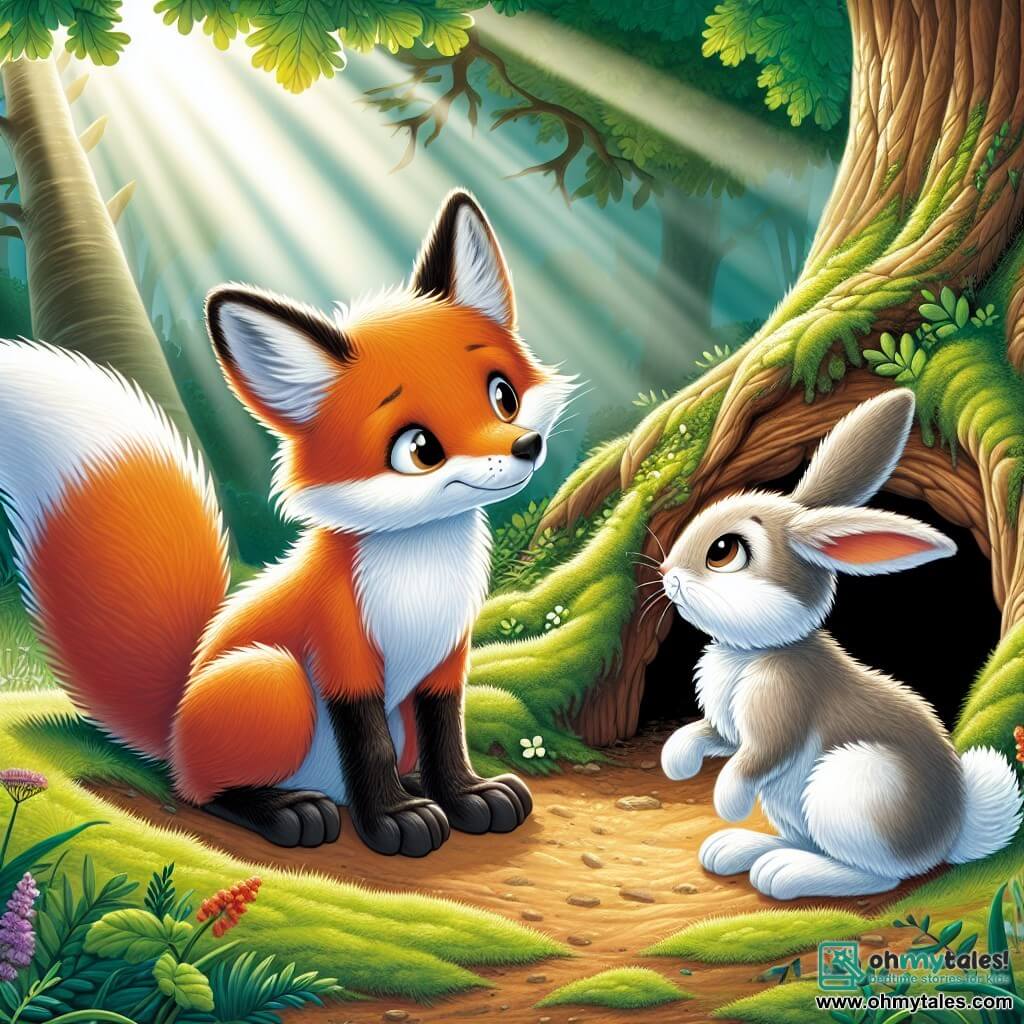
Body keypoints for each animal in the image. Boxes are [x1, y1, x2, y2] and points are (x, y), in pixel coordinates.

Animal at [0, 189, 575, 857]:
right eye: (419, 448)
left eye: (503, 396)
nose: (525, 447)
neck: (420, 575)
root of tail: (173, 723)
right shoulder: (342, 652)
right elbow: (368, 744)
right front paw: (395, 820)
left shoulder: (446, 656)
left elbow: (444, 734)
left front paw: (465, 797)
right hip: (273, 676)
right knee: (202, 793)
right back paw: (287, 809)